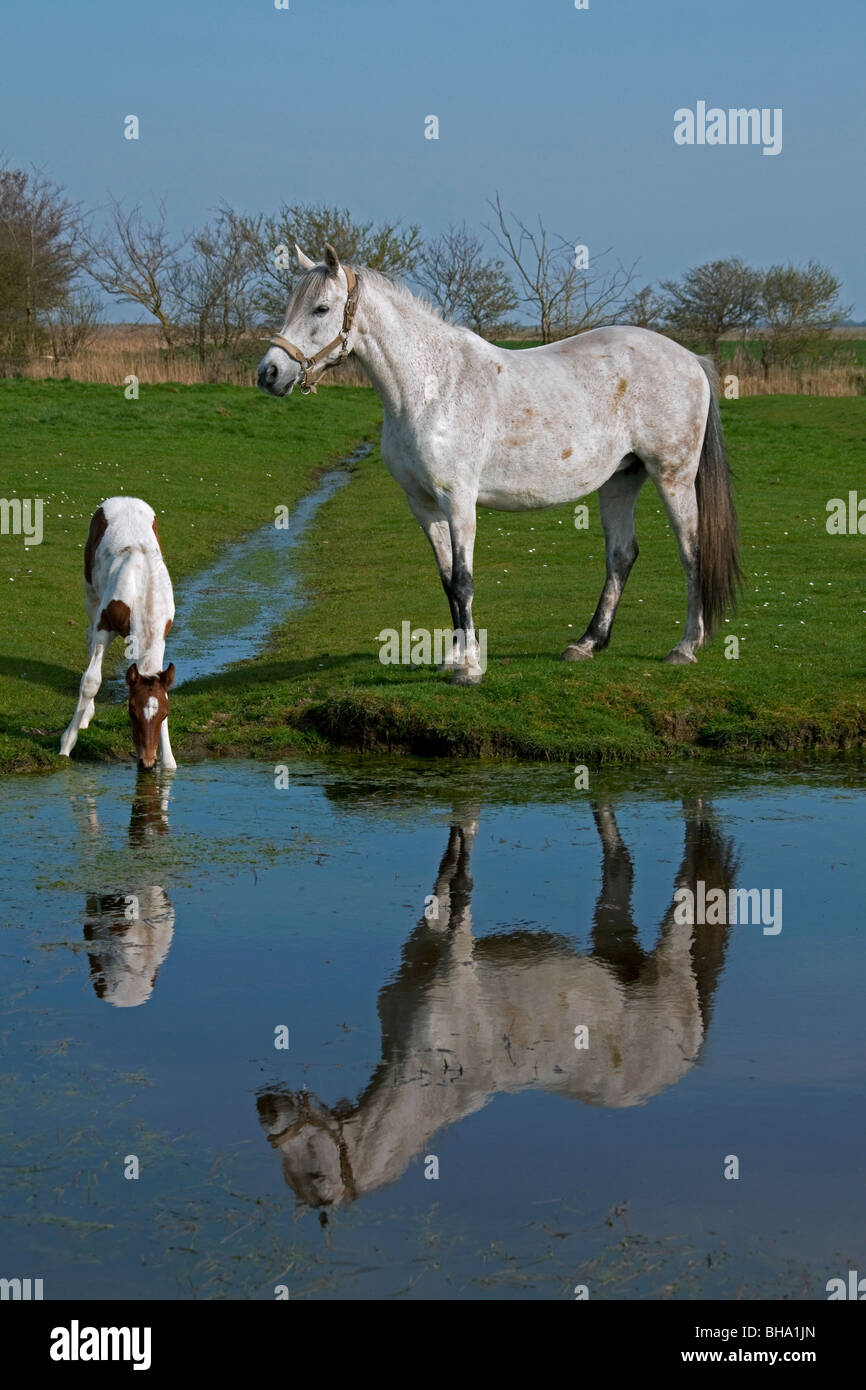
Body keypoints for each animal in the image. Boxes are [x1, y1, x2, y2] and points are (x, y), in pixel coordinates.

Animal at [59, 497, 176, 770]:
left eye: (164, 714)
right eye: (131, 711)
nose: (147, 761)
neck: (145, 593)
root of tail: (124, 499)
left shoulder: (162, 636)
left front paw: (169, 762)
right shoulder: (105, 625)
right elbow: (91, 681)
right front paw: (67, 744)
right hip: (91, 592)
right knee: (89, 638)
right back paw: (85, 715)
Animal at [257, 245, 741, 685]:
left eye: (321, 308)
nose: (269, 373)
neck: (432, 386)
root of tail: (691, 359)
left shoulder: (458, 500)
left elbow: (464, 580)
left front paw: (469, 669)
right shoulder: (423, 505)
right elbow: (448, 581)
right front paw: (454, 658)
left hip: (673, 476)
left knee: (692, 551)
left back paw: (685, 647)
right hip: (621, 479)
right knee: (621, 555)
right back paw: (586, 644)